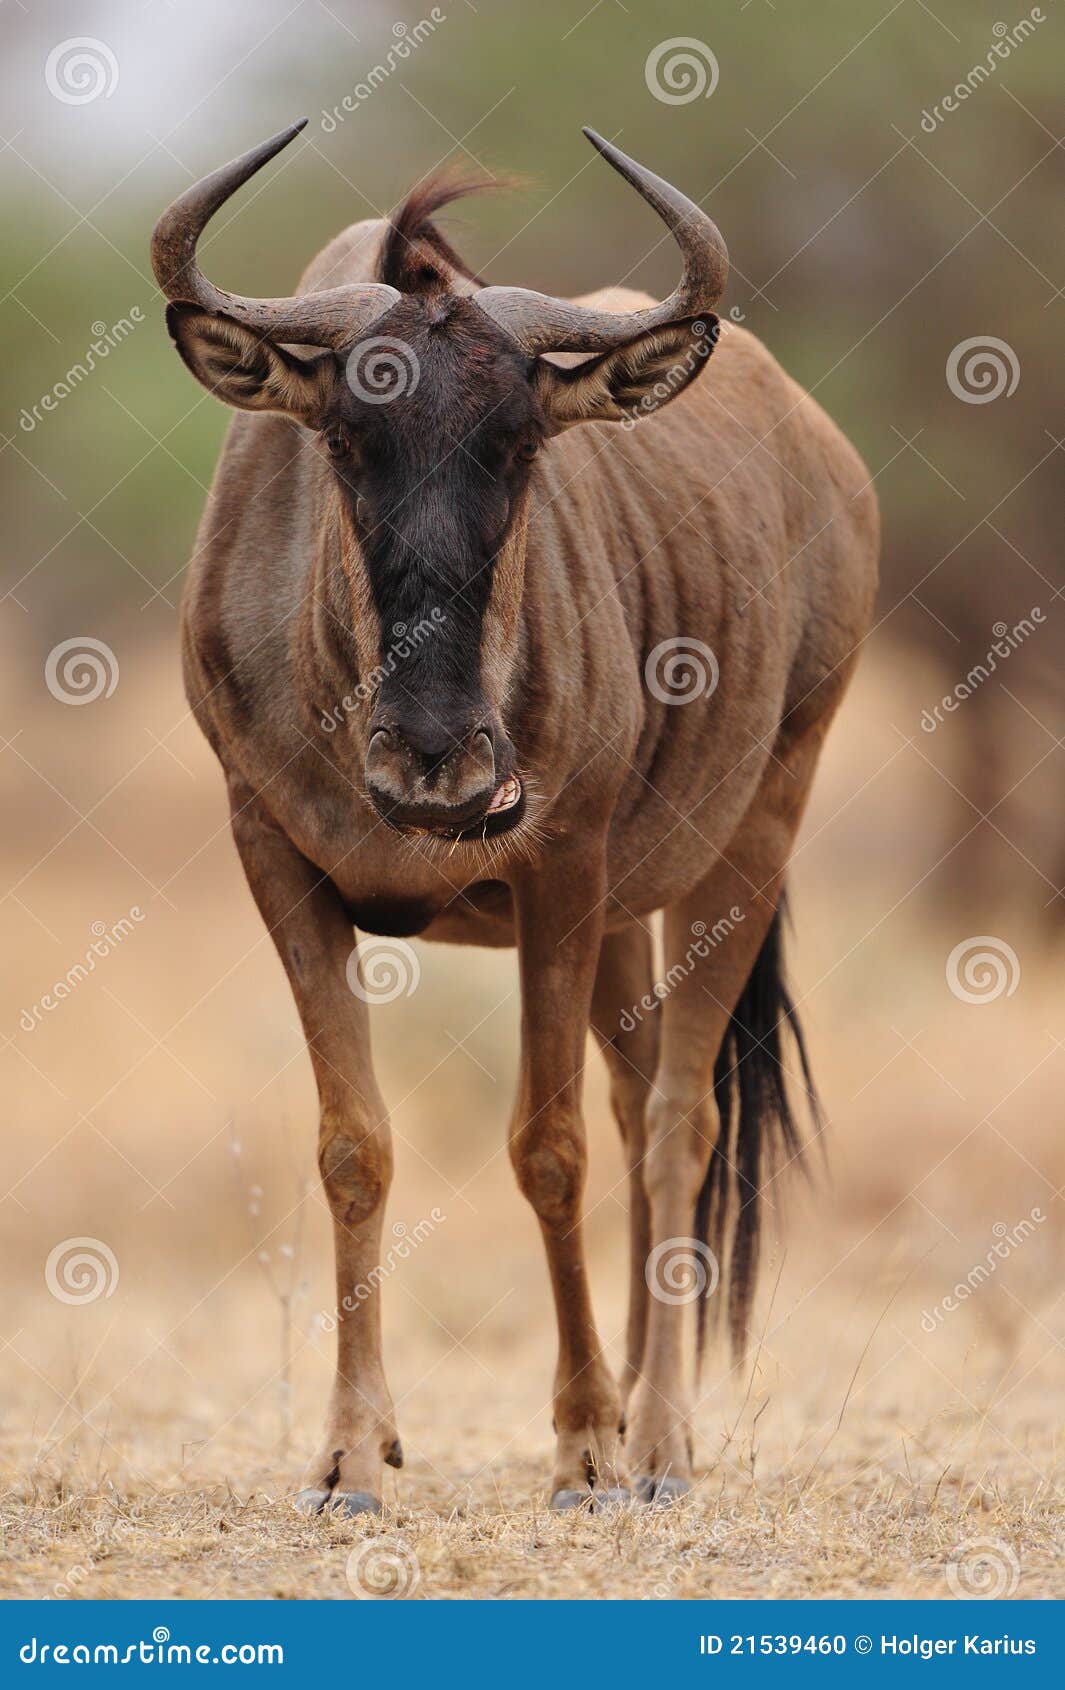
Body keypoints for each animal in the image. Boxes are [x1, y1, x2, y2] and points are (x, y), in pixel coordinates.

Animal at [152, 120, 878, 1515]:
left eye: (523, 446)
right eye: (344, 442)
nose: (438, 760)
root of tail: (828, 455)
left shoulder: (561, 869)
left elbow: (548, 1148)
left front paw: (586, 1445)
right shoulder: (275, 859)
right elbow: (355, 1146)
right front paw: (351, 1455)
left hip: (750, 838)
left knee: (678, 1123)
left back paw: (659, 1444)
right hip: (628, 921)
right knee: (642, 1099)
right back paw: (657, 1414)